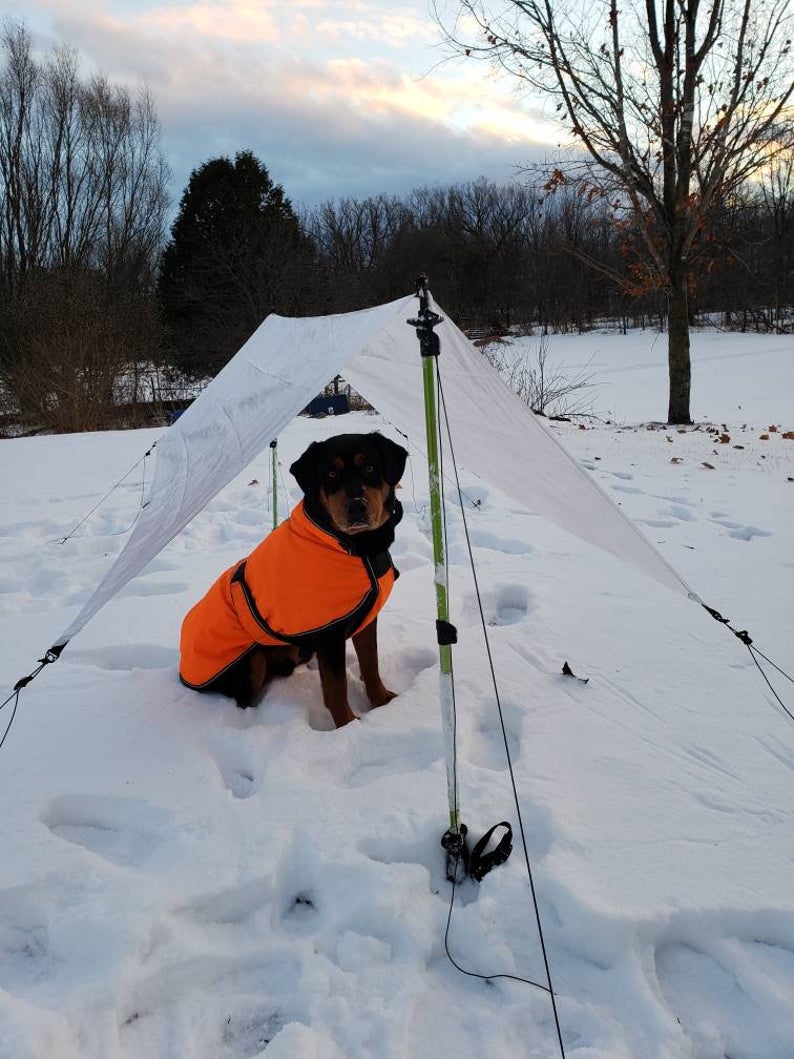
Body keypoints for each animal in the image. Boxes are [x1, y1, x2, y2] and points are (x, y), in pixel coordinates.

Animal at [177, 432, 406, 728]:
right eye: (331, 474)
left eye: (370, 468)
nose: (357, 506)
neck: (353, 546)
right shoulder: (329, 634)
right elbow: (337, 686)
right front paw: (347, 725)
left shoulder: (366, 619)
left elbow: (370, 664)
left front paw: (382, 702)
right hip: (251, 662)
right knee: (246, 697)